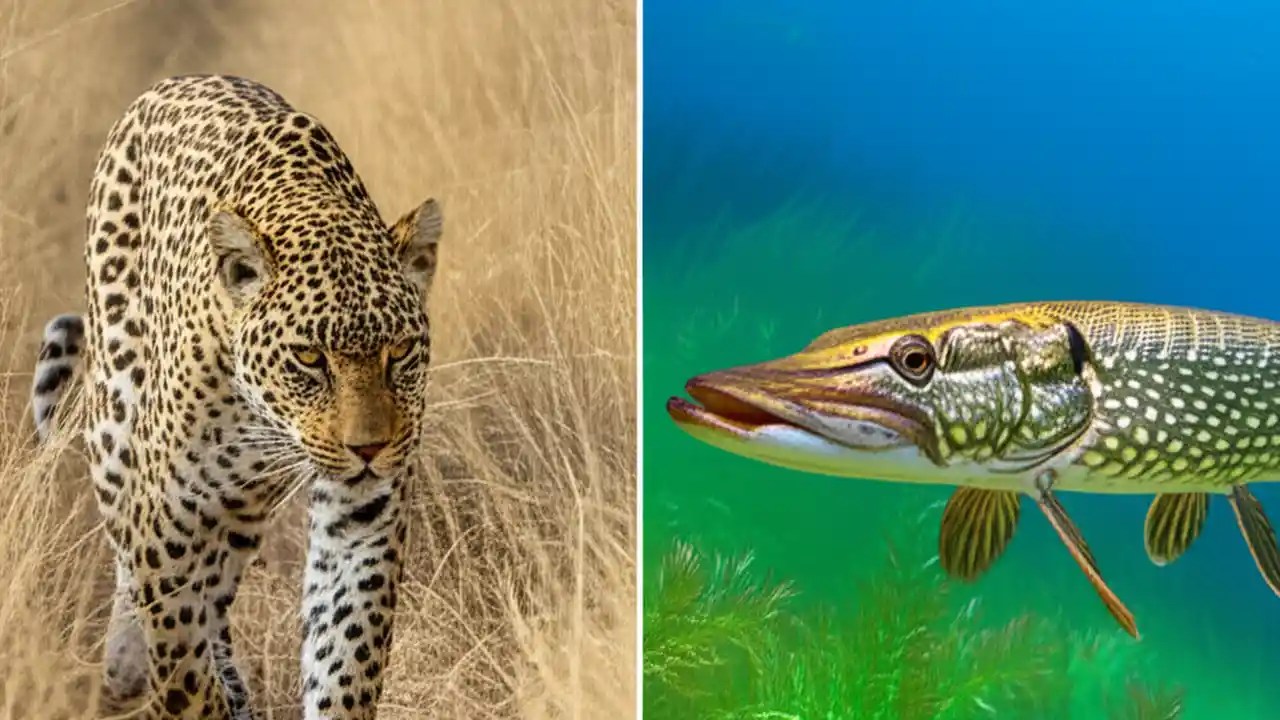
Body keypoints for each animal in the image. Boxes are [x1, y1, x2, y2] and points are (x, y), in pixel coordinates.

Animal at [29, 74, 443, 719]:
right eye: (309, 358)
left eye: (398, 351)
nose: (369, 449)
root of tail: (175, 84)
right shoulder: (166, 515)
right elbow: (179, 656)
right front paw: (188, 691)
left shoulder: (363, 514)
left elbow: (346, 649)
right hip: (115, 425)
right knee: (128, 548)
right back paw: (128, 661)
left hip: (243, 504)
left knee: (216, 588)